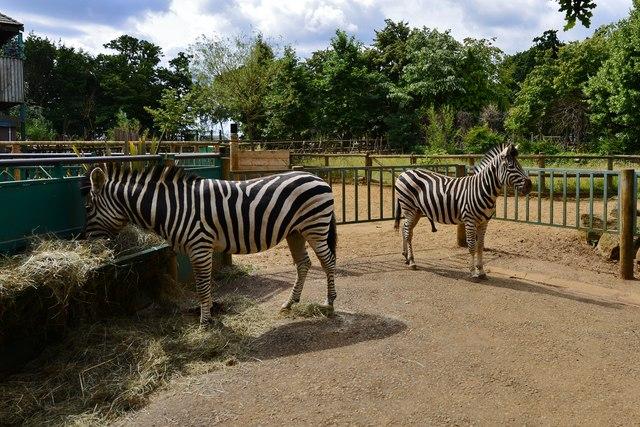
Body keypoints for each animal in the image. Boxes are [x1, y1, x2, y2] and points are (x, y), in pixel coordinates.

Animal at [82, 164, 337, 326]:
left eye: (87, 208)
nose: (90, 244)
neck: (174, 208)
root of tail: (318, 178)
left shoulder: (200, 247)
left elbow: (202, 287)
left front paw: (205, 322)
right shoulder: (197, 250)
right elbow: (204, 286)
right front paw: (210, 315)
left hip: (315, 227)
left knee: (328, 263)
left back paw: (329, 303)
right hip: (295, 231)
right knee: (303, 264)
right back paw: (290, 303)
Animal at [393, 143, 532, 278]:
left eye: (519, 164)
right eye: (511, 166)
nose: (529, 185)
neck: (482, 189)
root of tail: (404, 173)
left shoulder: (484, 222)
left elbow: (480, 246)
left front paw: (481, 271)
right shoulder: (470, 221)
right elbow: (472, 246)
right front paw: (473, 272)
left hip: (416, 211)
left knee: (406, 229)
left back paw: (406, 256)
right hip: (409, 208)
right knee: (407, 232)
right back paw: (412, 261)